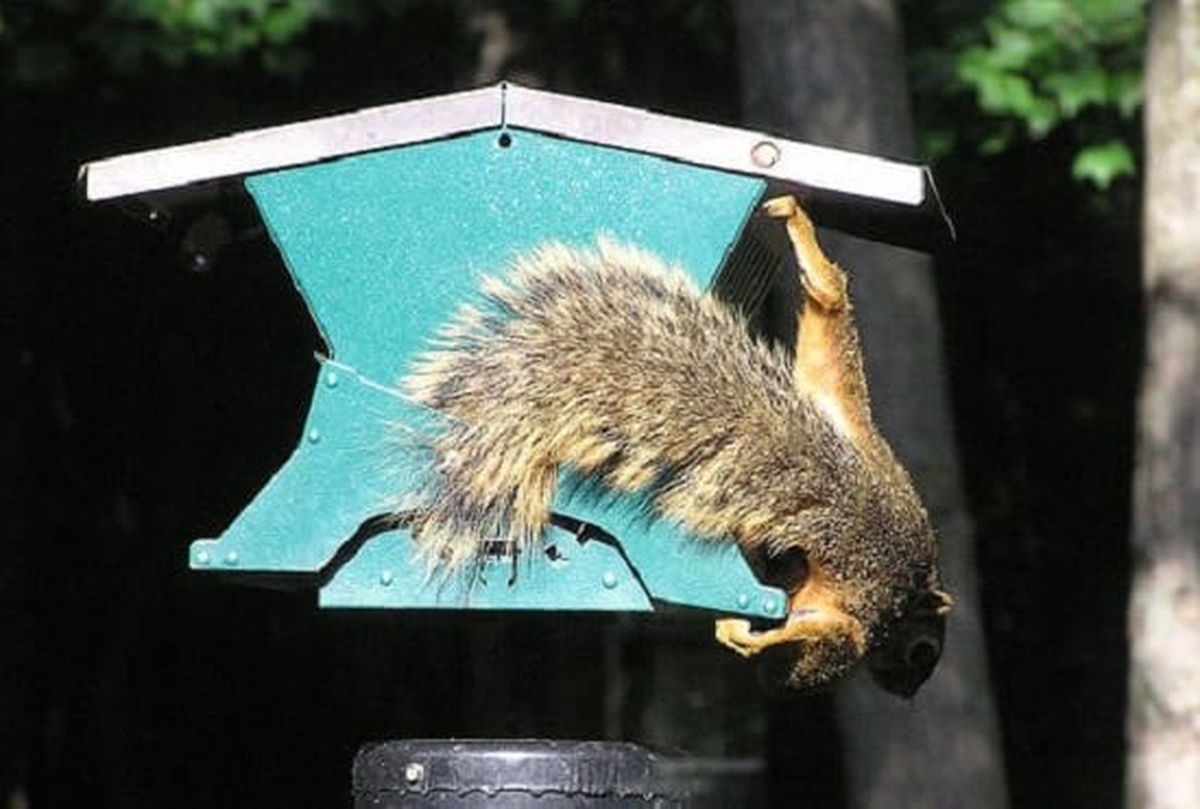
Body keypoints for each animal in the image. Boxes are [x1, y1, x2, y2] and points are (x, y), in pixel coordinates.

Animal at [399, 195, 953, 698]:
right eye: (923, 653)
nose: (910, 692)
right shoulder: (852, 632)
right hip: (837, 609)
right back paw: (739, 633)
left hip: (847, 415)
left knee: (830, 317)